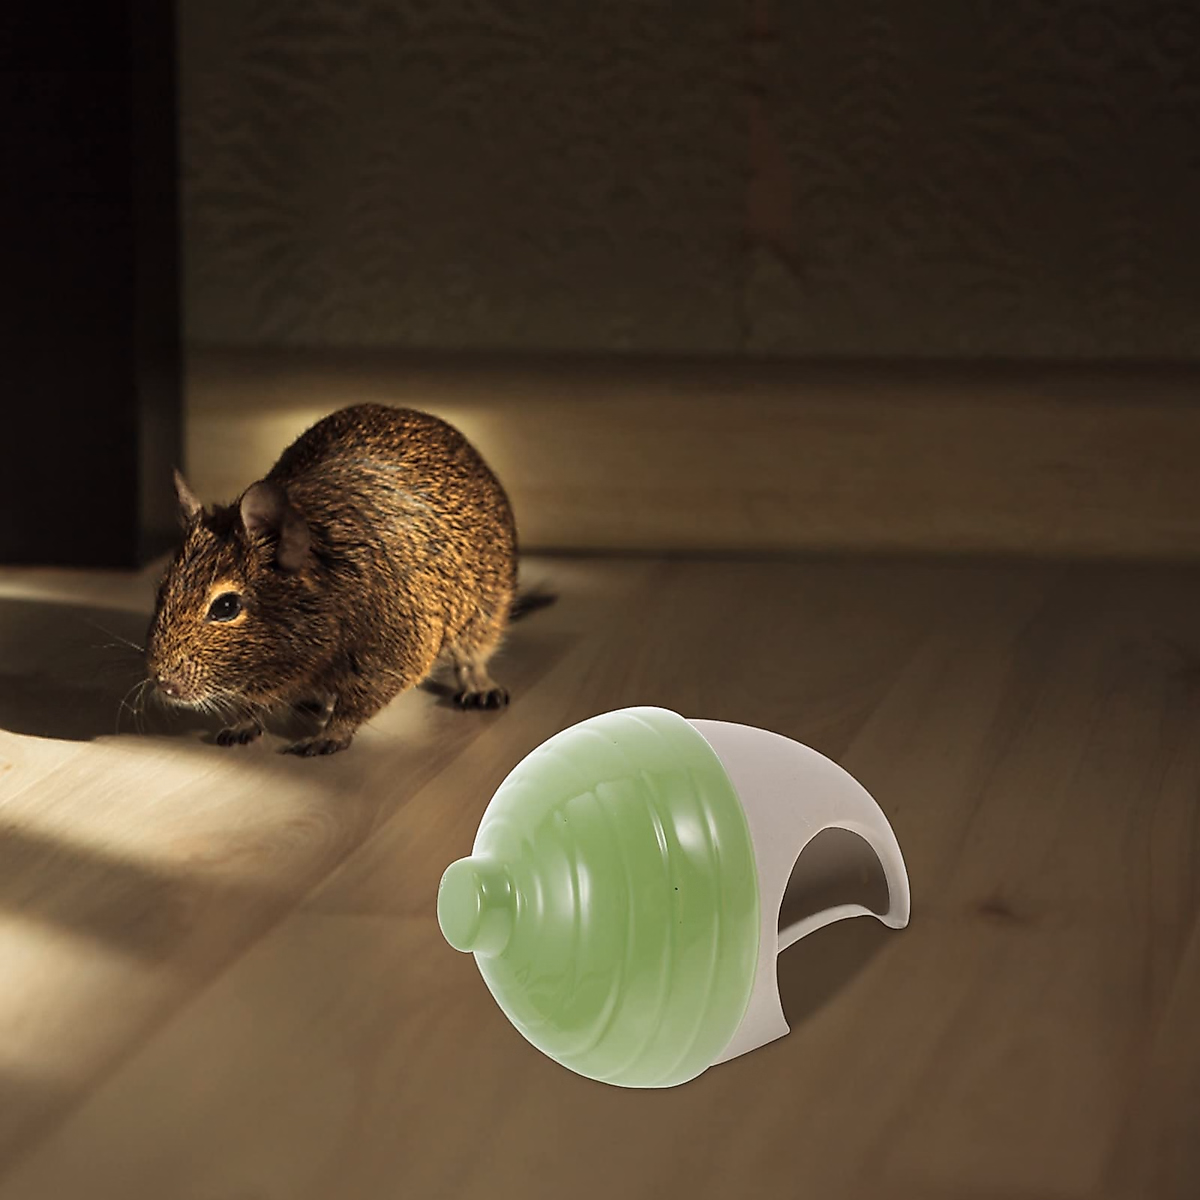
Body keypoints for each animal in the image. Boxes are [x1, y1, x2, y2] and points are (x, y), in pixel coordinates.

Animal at [146, 403, 546, 756]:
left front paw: (326, 737)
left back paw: (481, 690)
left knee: (472, 660)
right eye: (161, 590)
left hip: (484, 614)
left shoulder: (393, 657)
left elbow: (354, 706)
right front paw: (242, 724)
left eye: (226, 606)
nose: (162, 683)